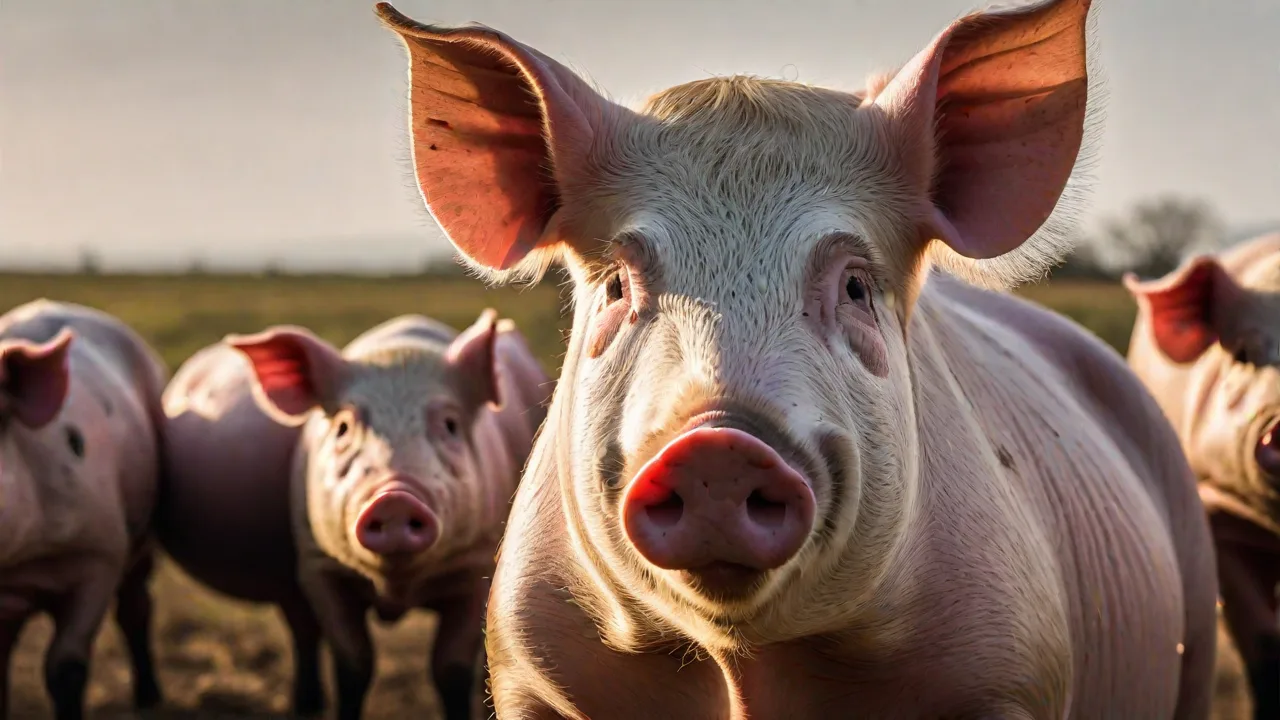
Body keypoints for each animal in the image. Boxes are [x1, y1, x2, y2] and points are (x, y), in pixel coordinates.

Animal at [208, 311, 551, 720]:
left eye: (450, 424)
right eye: (343, 426)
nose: (394, 498)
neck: (397, 589)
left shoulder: (475, 568)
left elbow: (450, 667)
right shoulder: (318, 567)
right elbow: (352, 663)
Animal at [372, 0, 1220, 717]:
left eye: (854, 285)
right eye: (616, 283)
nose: (717, 445)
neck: (746, 666)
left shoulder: (1013, 668)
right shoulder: (526, 665)